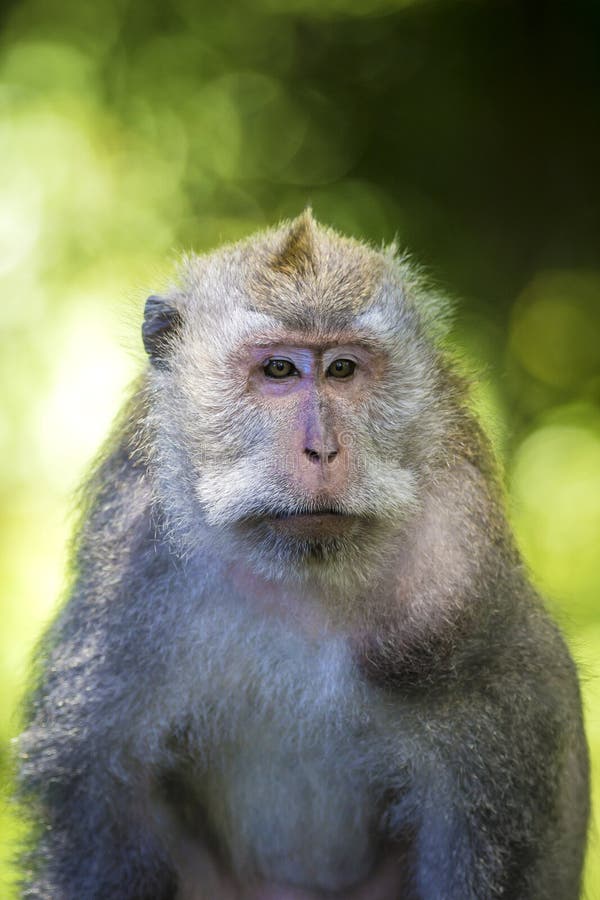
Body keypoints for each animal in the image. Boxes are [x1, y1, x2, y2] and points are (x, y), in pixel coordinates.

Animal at [16, 210, 588, 900]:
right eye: (279, 371)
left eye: (342, 369)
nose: (322, 450)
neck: (301, 577)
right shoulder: (128, 561)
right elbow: (106, 807)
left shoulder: (464, 585)